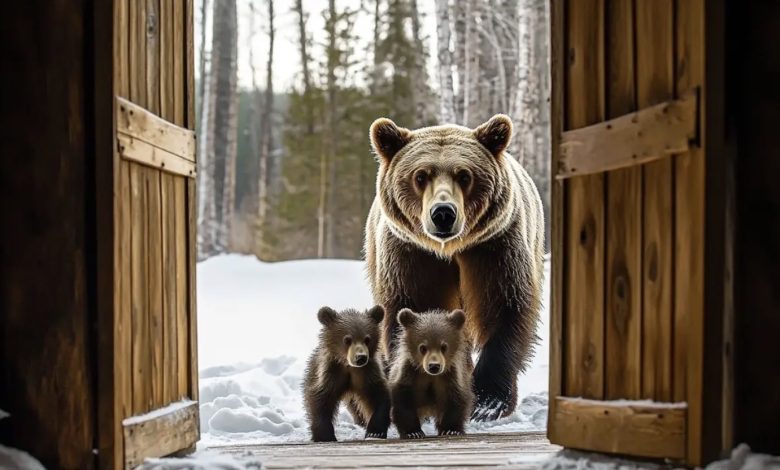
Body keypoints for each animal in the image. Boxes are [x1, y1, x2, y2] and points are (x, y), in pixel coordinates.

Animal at [303, 305, 391, 442]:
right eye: (347, 339)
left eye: (367, 339)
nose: (360, 357)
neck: (349, 367)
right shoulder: (331, 373)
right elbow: (320, 399)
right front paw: (325, 435)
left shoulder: (368, 374)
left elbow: (379, 396)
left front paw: (374, 432)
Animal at [364, 114, 545, 422]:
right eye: (420, 175)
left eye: (464, 175)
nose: (443, 213)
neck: (449, 250)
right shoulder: (412, 254)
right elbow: (412, 307)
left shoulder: (493, 247)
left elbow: (505, 305)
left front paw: (487, 402)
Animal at [389, 308, 474, 439]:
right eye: (423, 347)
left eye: (444, 347)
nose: (434, 366)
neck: (429, 376)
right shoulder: (409, 374)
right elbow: (404, 402)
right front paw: (413, 432)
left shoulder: (450, 377)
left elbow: (456, 401)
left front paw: (451, 430)